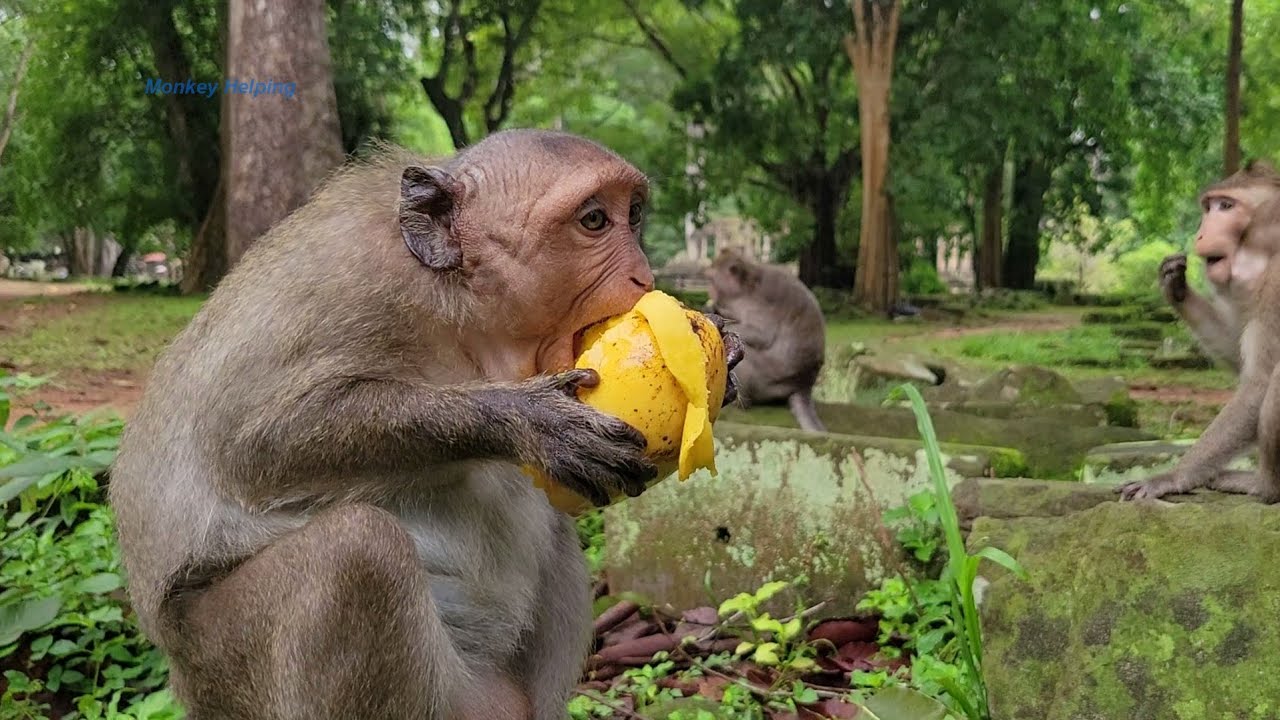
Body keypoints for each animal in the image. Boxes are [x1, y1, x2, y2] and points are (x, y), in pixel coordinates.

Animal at [107, 129, 744, 720]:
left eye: (632, 216)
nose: (644, 276)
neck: (460, 311)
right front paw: (529, 420)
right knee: (358, 551)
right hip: (224, 670)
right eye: (594, 220)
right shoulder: (350, 284)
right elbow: (251, 445)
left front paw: (730, 355)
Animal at [703, 246, 827, 433]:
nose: (708, 290)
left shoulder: (757, 303)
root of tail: (804, 385)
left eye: (711, 279)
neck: (745, 288)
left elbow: (762, 335)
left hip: (769, 382)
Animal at [1119, 189, 1280, 503]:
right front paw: (1175, 286)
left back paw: (1267, 486)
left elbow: (1259, 381)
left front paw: (1172, 476)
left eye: (1225, 207)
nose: (1201, 234)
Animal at [1159, 160, 1280, 373]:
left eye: (1226, 206)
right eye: (1208, 208)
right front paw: (1175, 284)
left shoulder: (1276, 282)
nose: (1199, 234)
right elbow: (1237, 354)